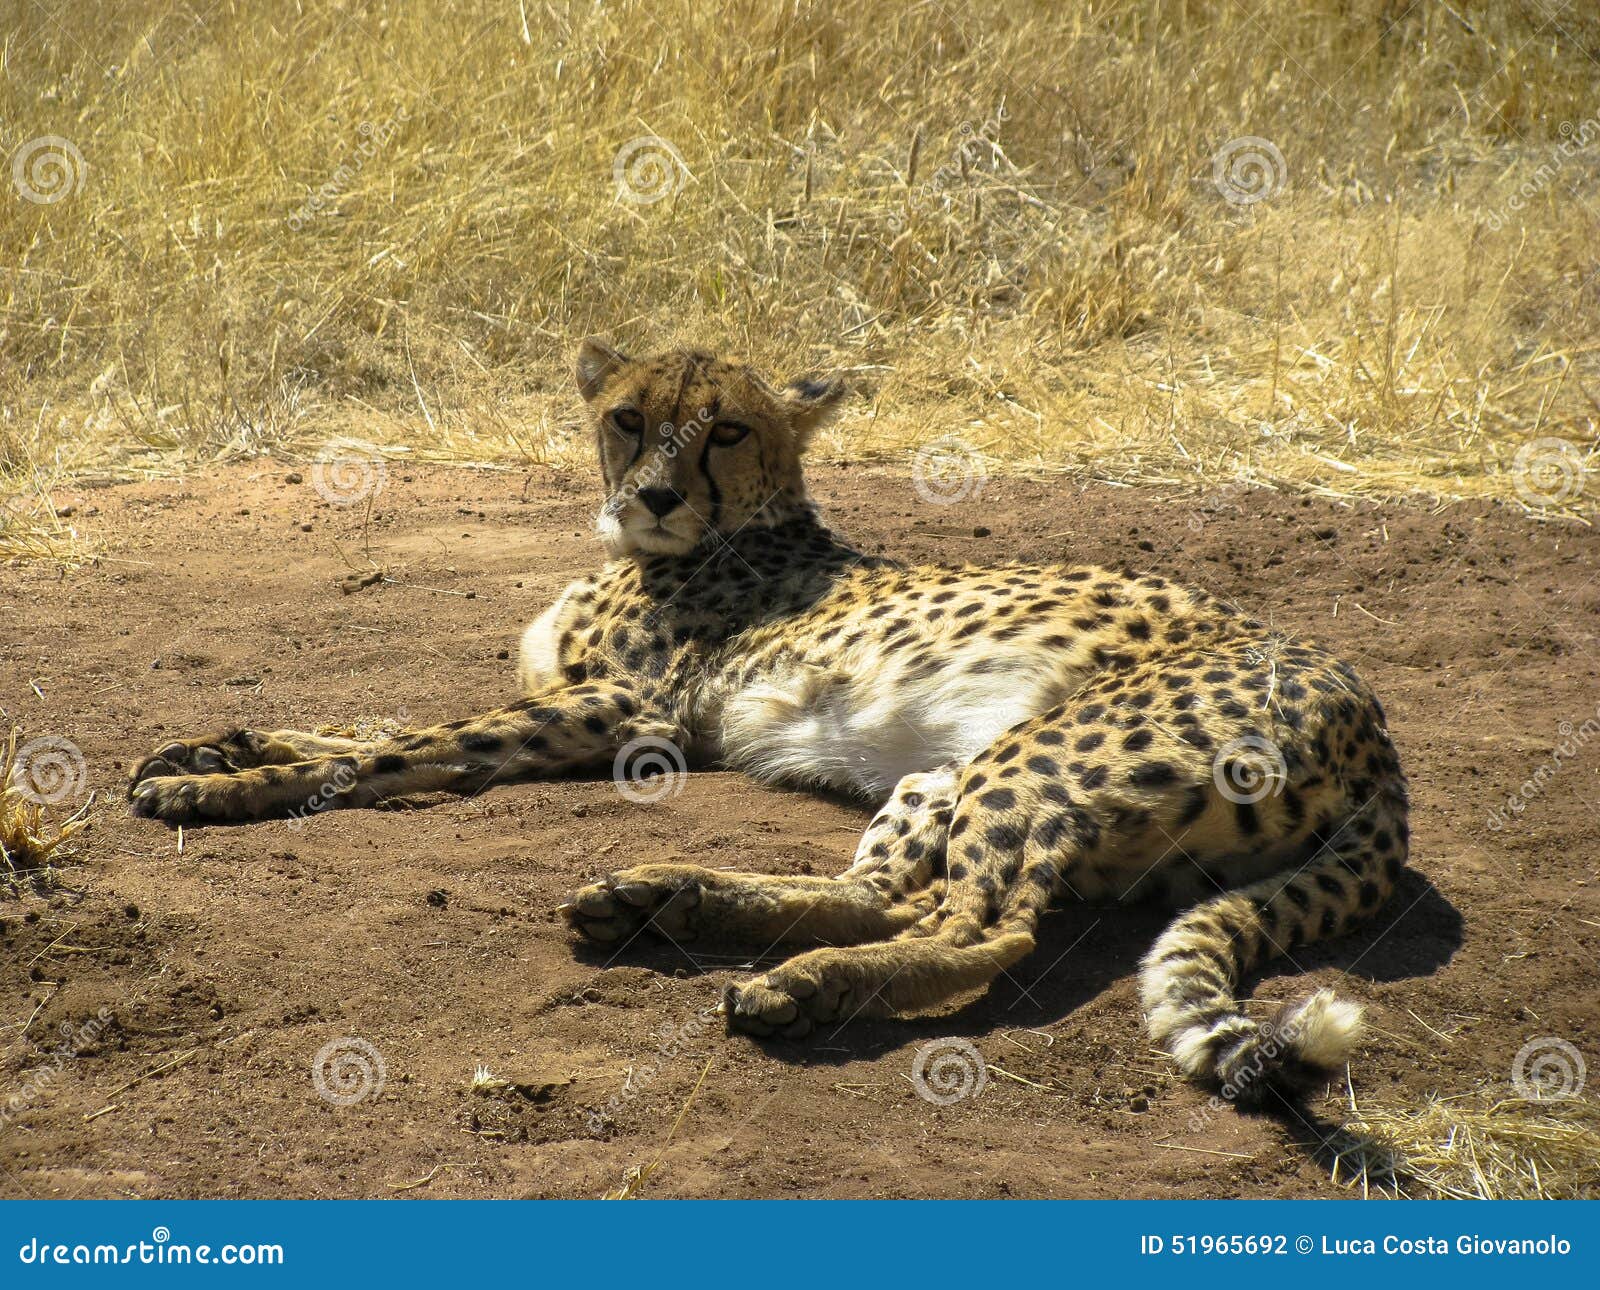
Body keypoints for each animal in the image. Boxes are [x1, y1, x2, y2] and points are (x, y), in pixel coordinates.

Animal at [128, 337, 1410, 1101]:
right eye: (628, 417)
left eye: (728, 430)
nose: (651, 494)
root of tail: (1370, 714)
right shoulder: (562, 693)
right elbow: (360, 723)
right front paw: (220, 744)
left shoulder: (626, 714)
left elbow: (407, 747)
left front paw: (221, 788)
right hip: (947, 773)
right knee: (890, 892)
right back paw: (670, 903)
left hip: (1037, 760)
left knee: (981, 929)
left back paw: (799, 984)